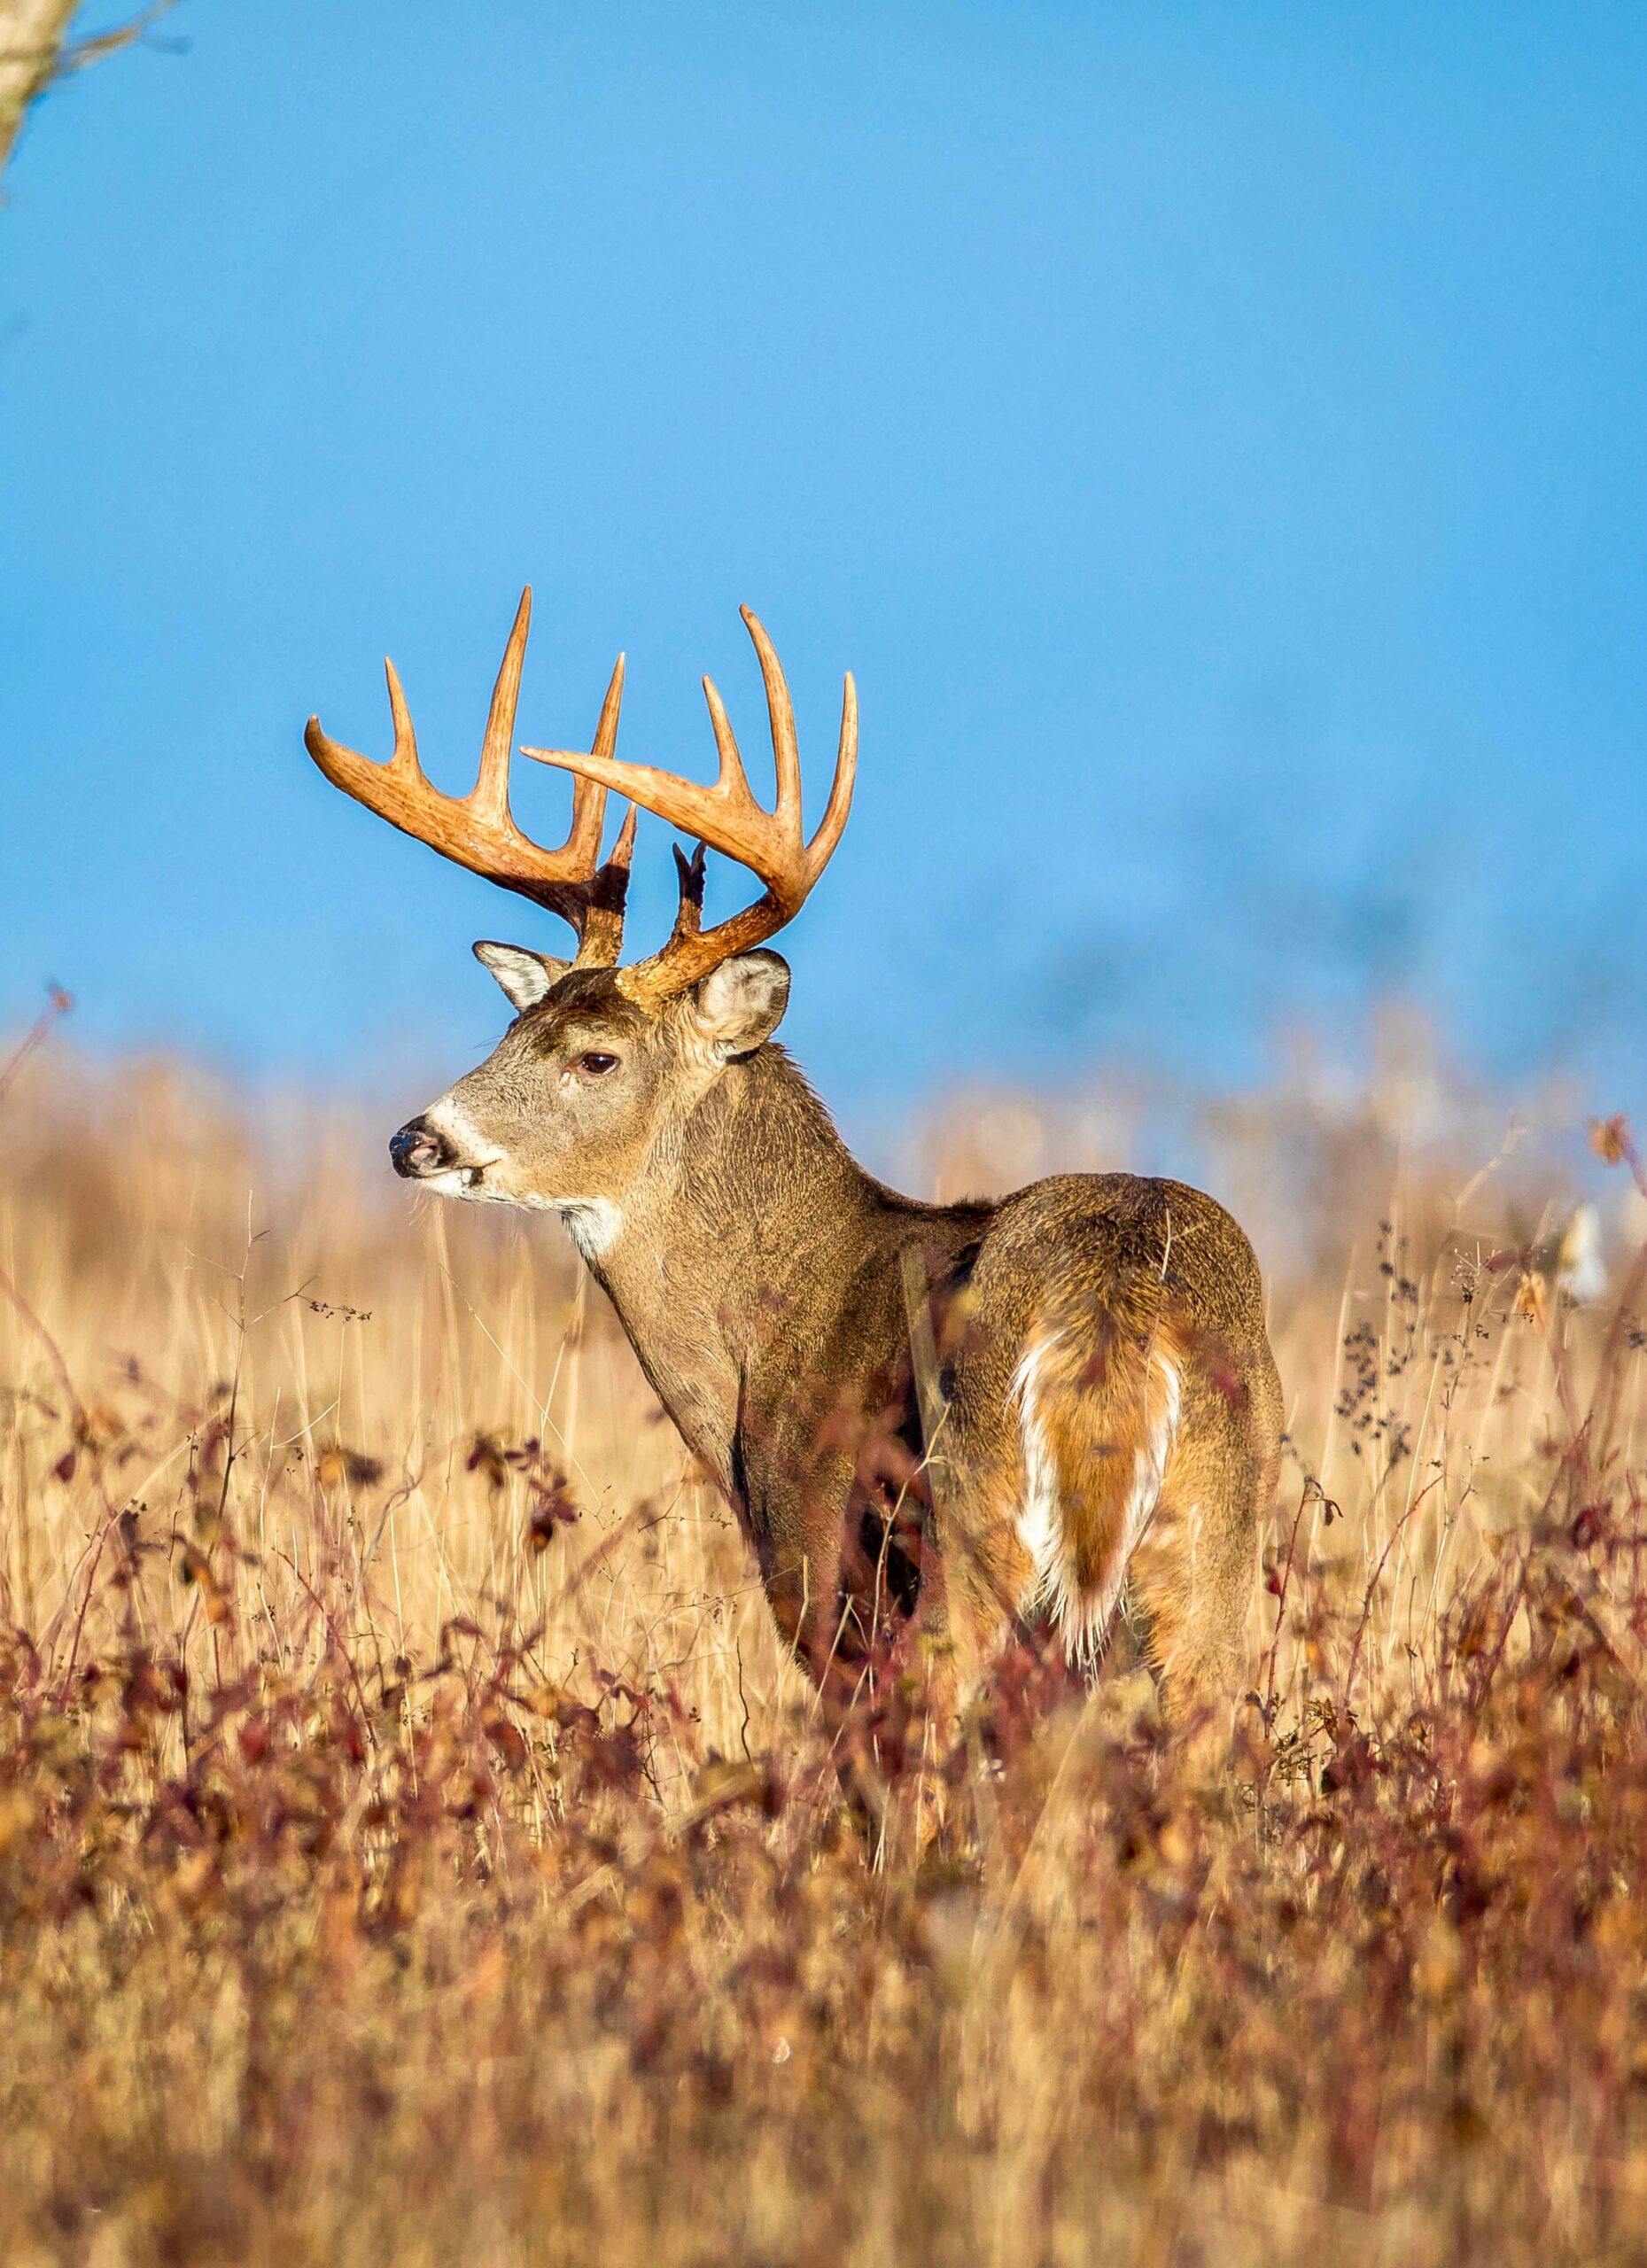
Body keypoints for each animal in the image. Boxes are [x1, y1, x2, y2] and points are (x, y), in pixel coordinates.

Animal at [305, 591, 1283, 1791]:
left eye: (594, 1057)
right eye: (510, 1029)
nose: (415, 1140)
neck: (774, 1329)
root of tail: (1116, 1309)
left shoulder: (816, 1569)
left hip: (966, 1520)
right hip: (1211, 1538)